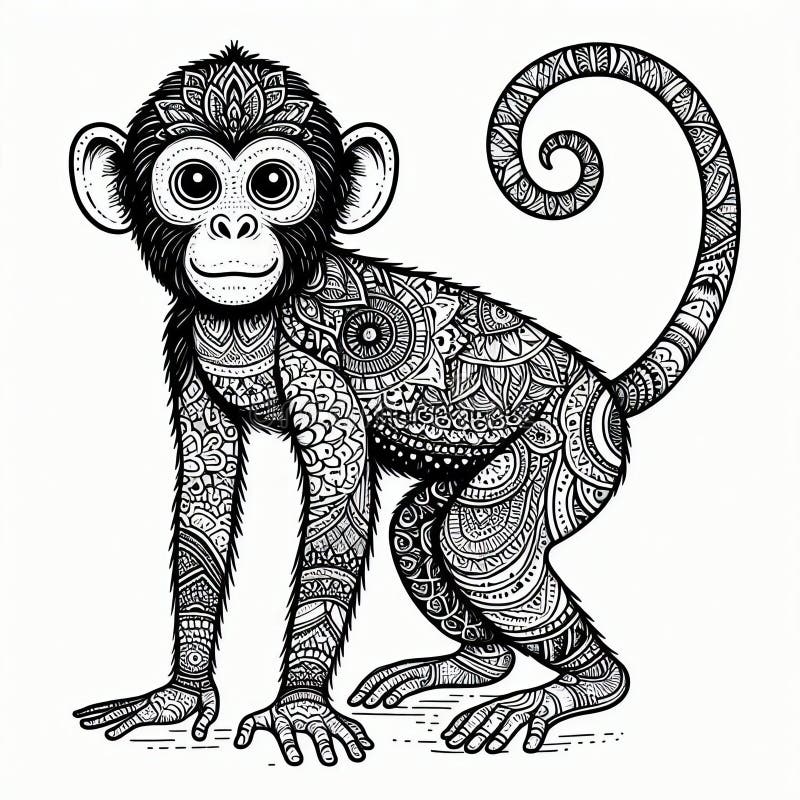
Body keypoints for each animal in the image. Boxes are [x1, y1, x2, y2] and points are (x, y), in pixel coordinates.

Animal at [69, 42, 738, 765]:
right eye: (196, 183)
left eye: (271, 184)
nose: (232, 224)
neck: (253, 315)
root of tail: (606, 387)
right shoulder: (188, 338)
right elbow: (206, 500)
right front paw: (182, 694)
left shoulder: (311, 357)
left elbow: (340, 500)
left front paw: (300, 708)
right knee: (416, 529)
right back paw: (474, 664)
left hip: (572, 444)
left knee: (475, 548)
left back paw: (581, 685)